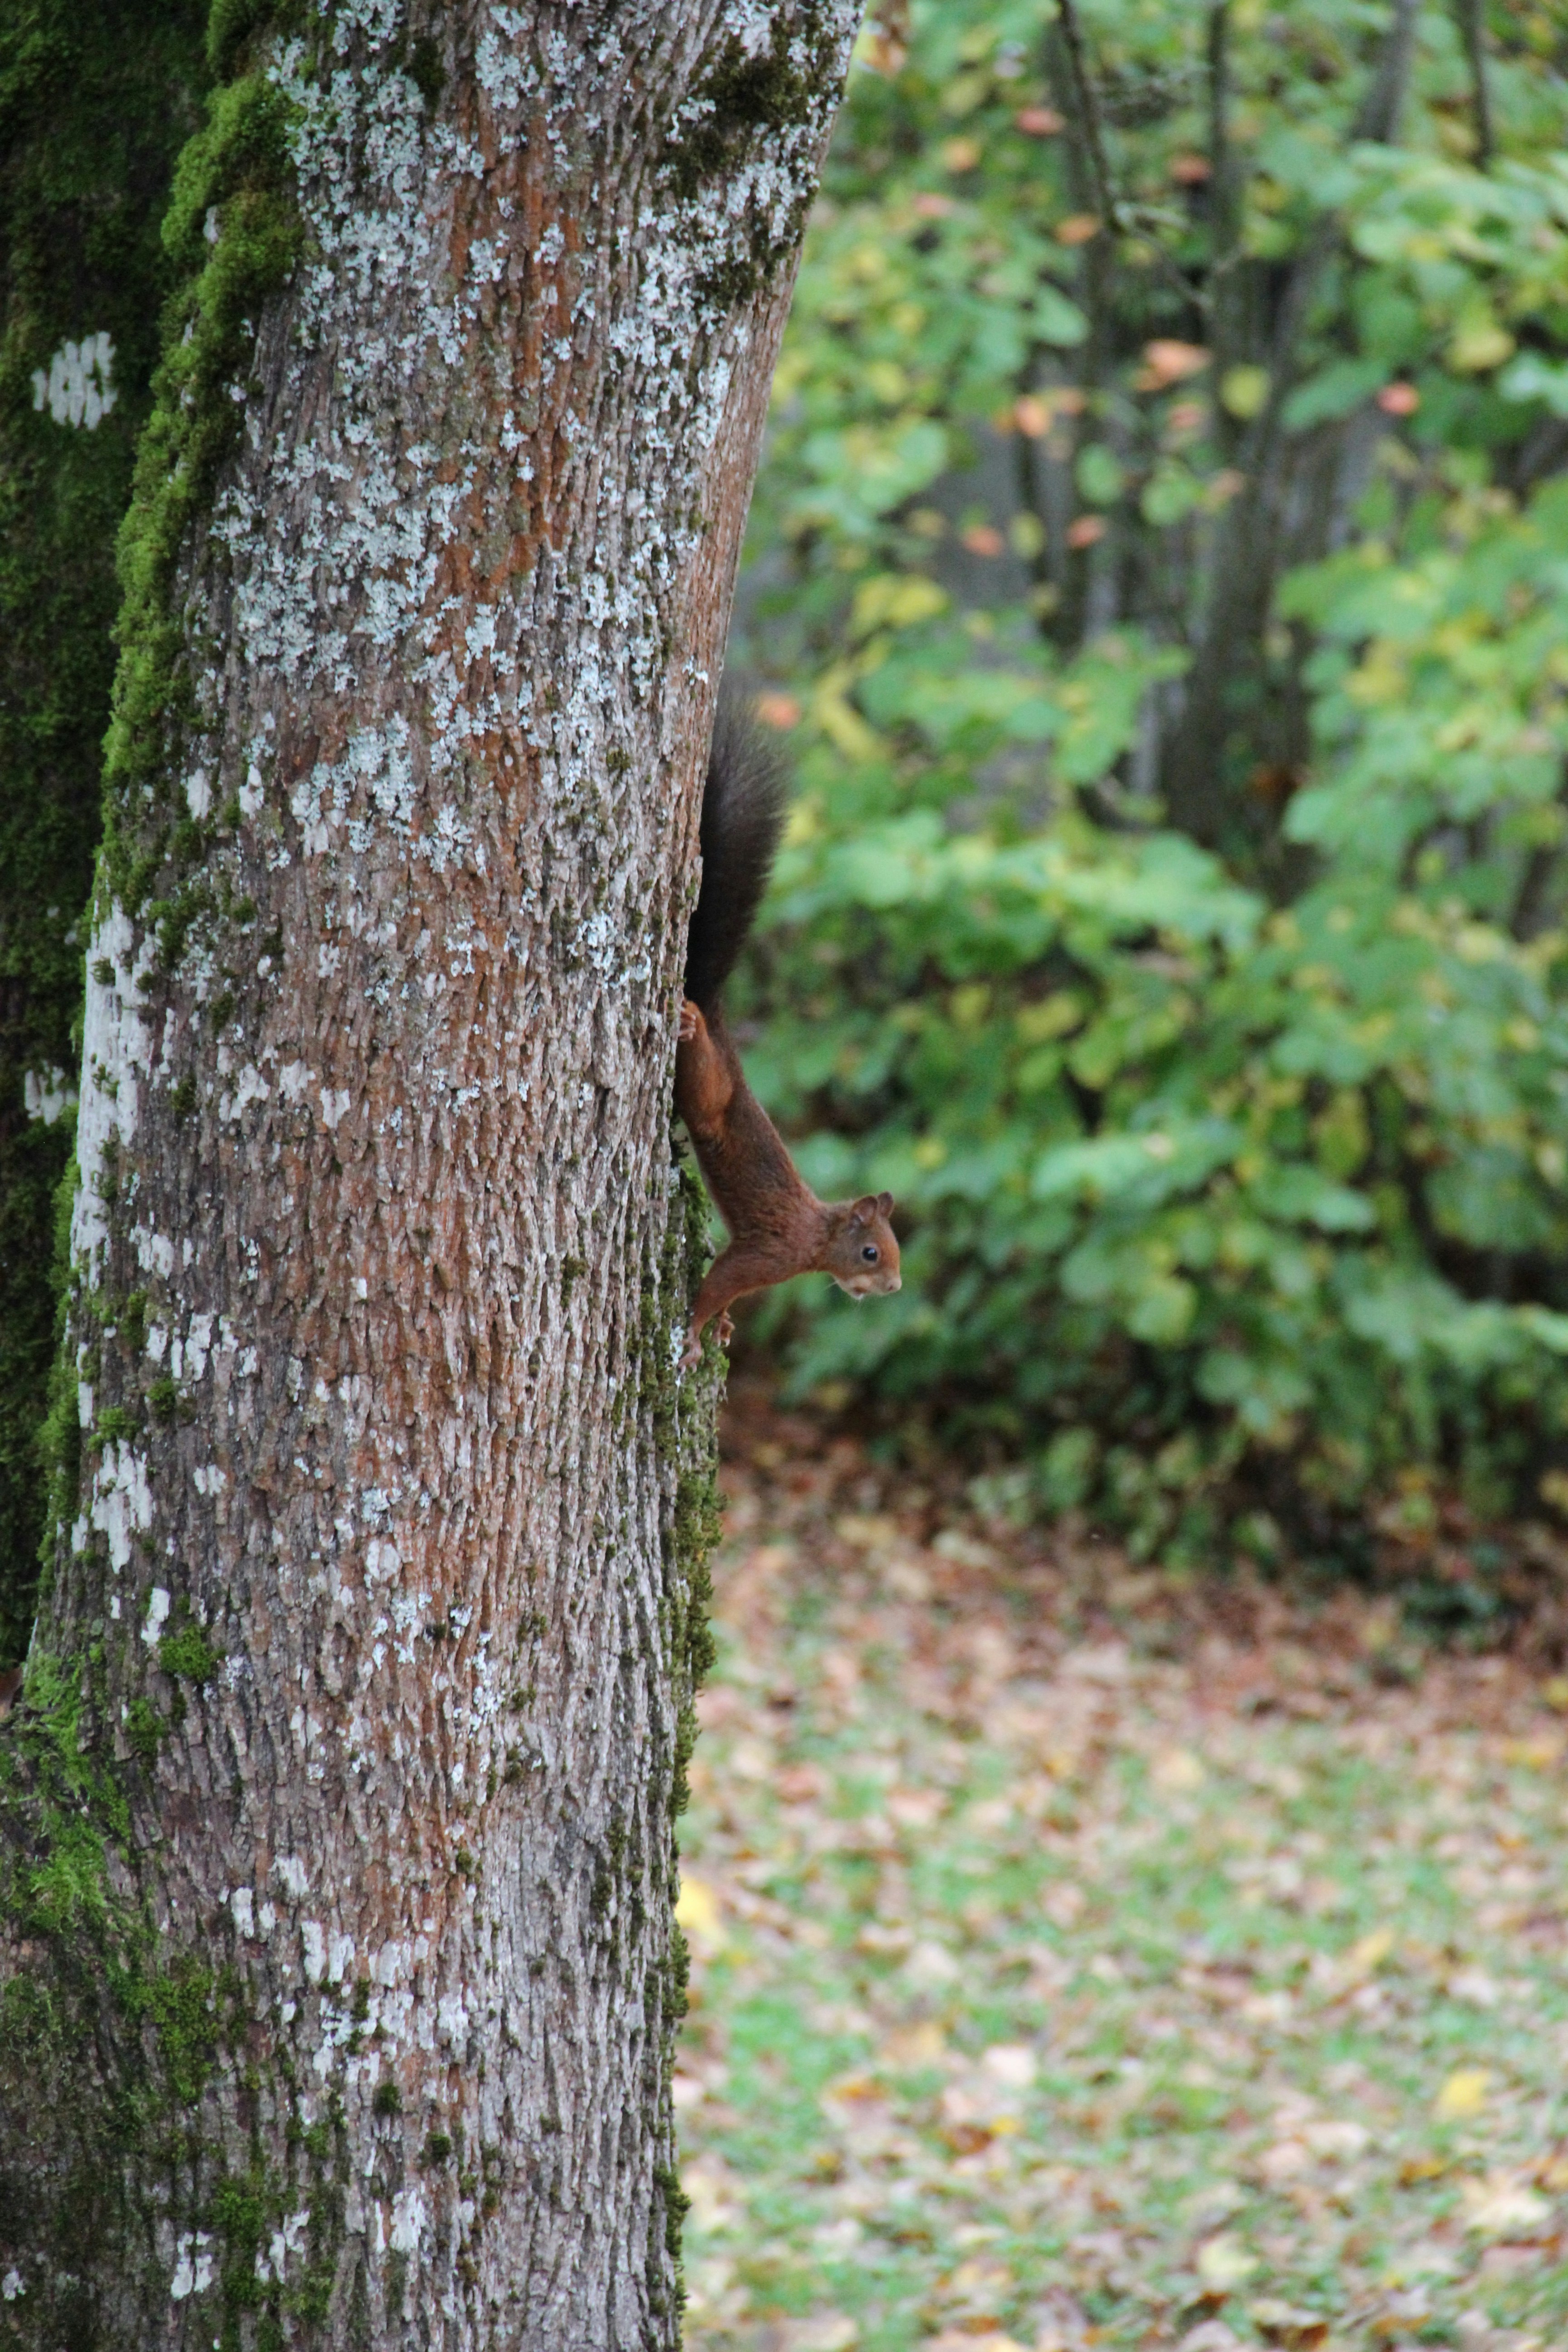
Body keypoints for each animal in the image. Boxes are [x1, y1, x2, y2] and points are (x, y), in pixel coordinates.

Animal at [675, 690, 901, 1371]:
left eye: (894, 1249)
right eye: (871, 1252)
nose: (893, 1287)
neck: (817, 1239)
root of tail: (722, 1024)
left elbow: (727, 1299)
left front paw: (724, 1327)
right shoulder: (769, 1252)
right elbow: (718, 1283)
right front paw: (696, 1333)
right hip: (712, 1092)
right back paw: (690, 1020)